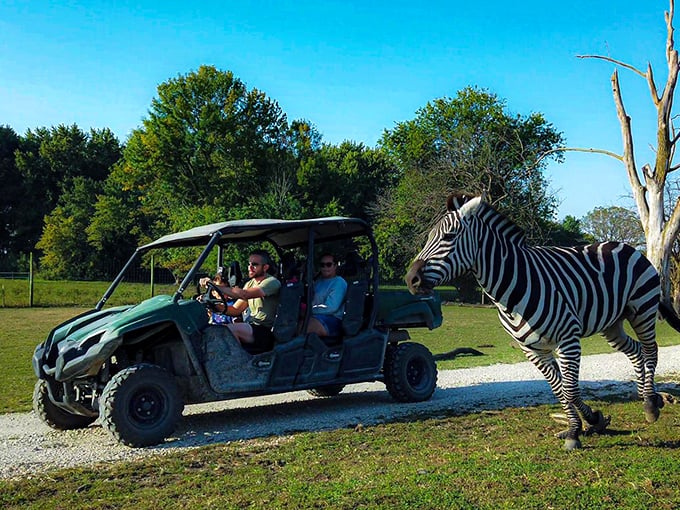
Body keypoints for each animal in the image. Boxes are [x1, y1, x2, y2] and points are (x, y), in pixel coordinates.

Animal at [405, 192, 680, 450]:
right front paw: (587, 422)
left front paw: (574, 432)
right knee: (635, 351)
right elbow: (559, 390)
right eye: (429, 237)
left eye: (449, 236)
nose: (410, 280)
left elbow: (570, 388)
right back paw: (646, 395)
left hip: (642, 309)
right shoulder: (532, 349)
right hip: (611, 324)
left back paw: (650, 404)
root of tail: (626, 246)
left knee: (650, 350)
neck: (512, 291)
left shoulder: (568, 339)